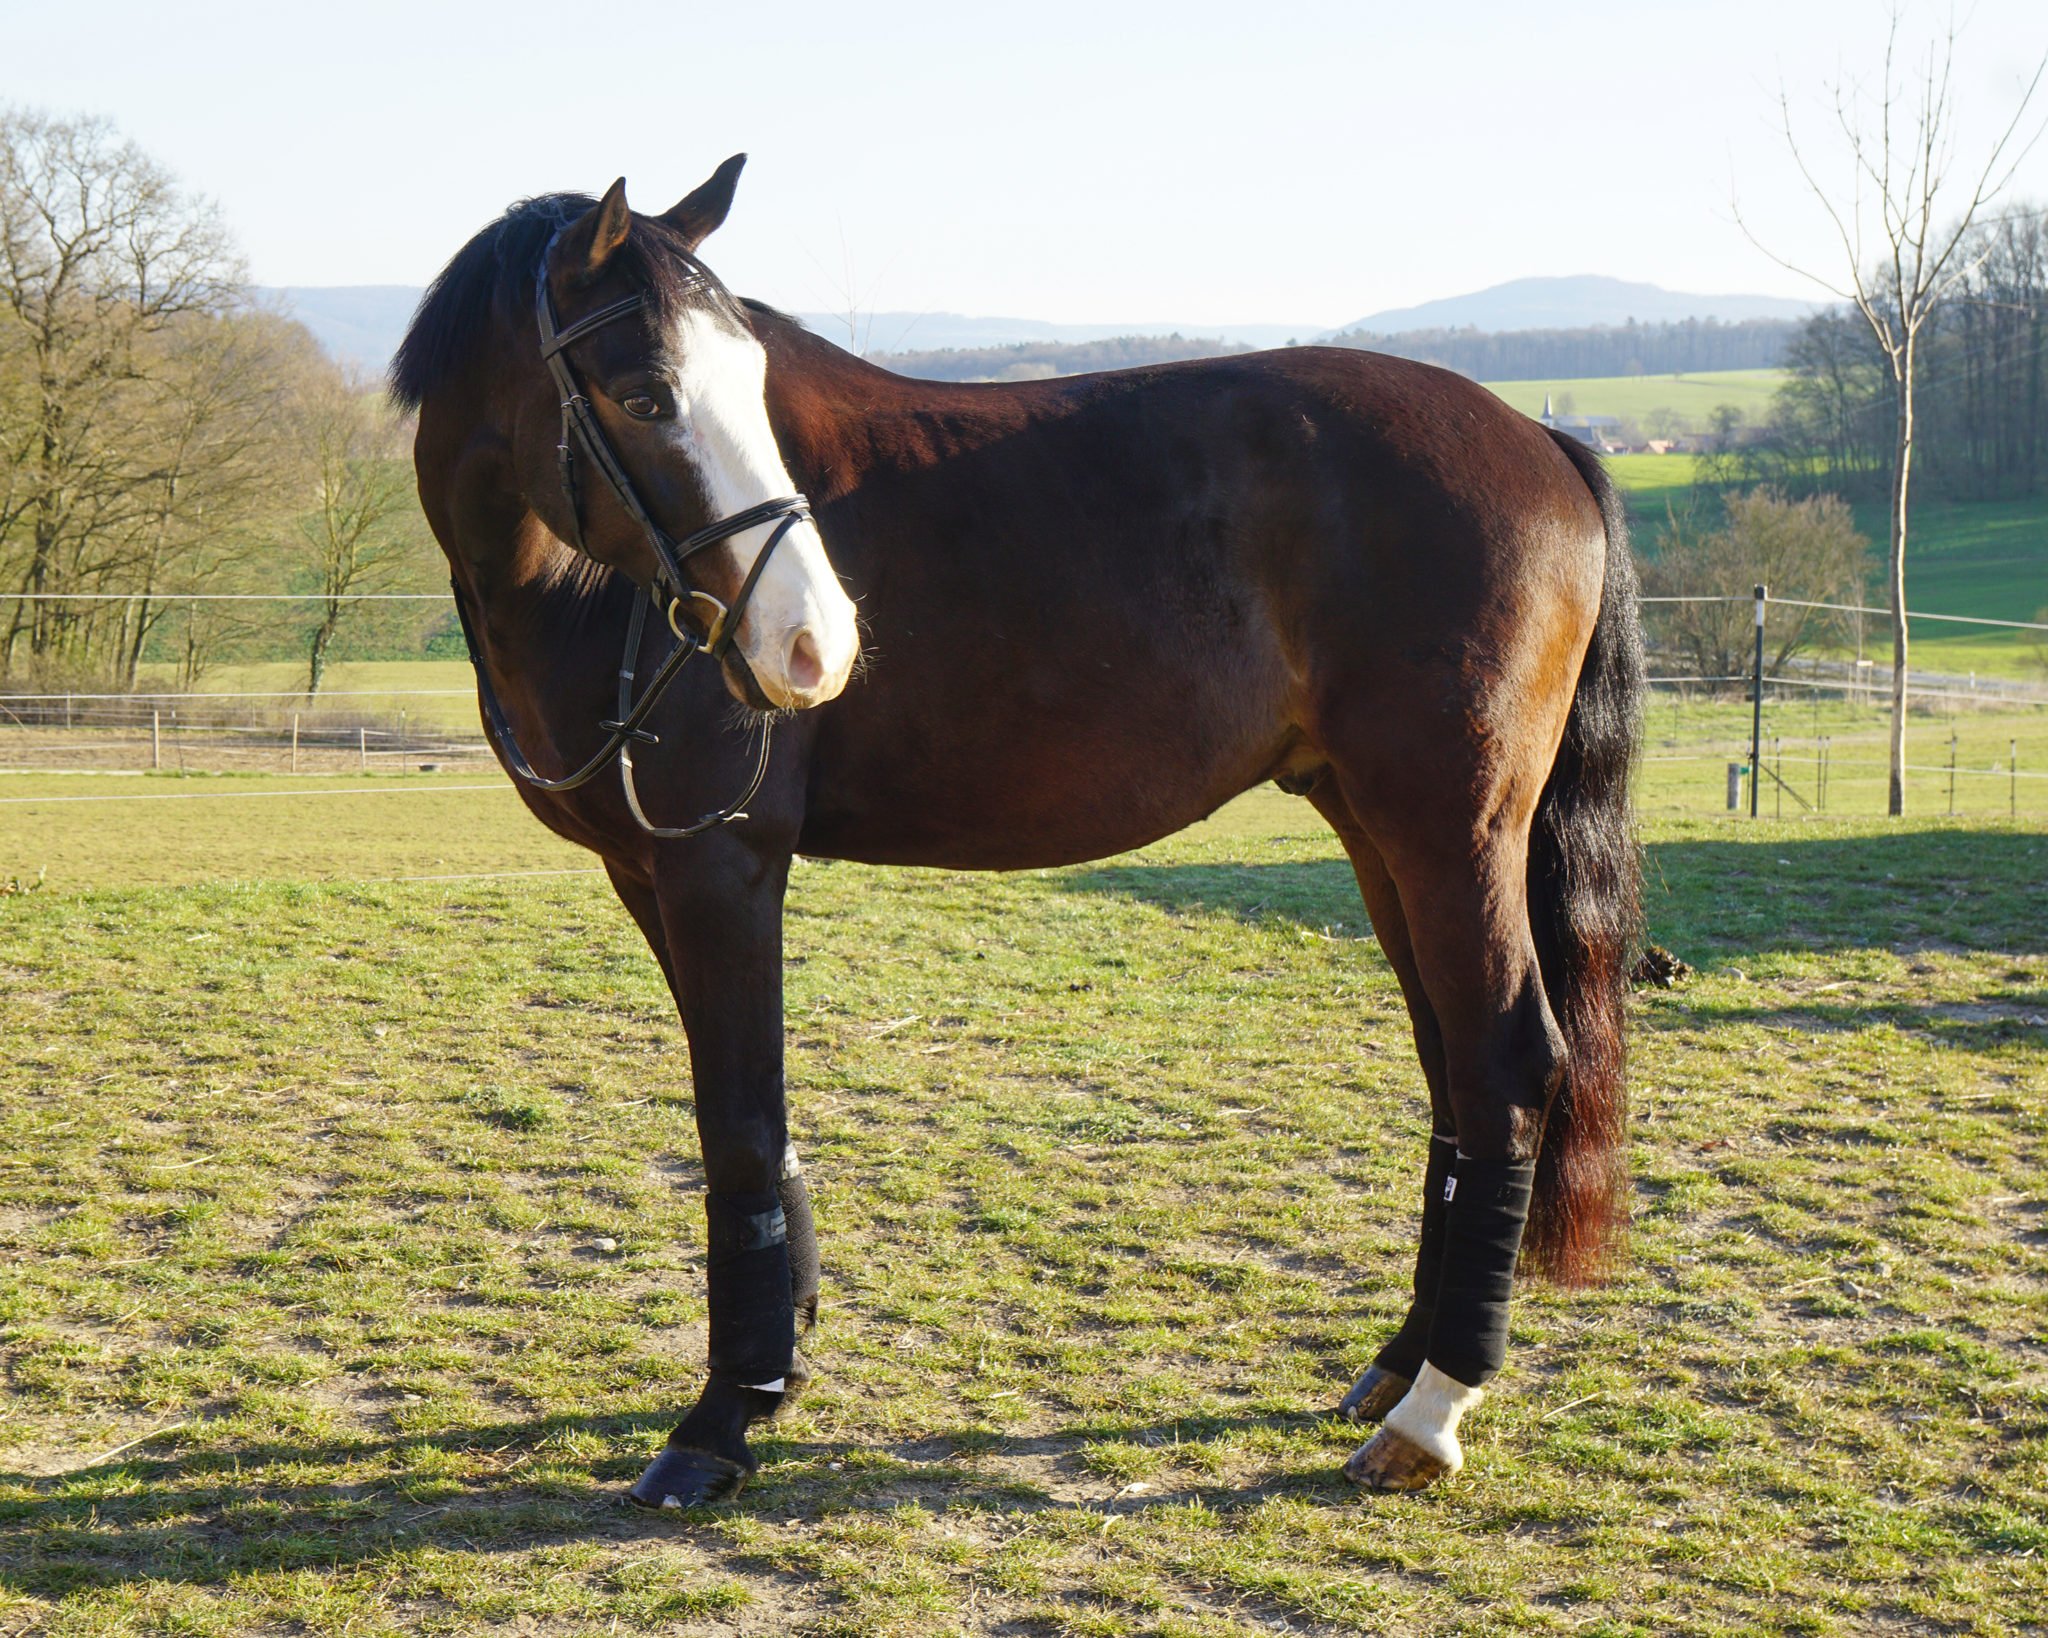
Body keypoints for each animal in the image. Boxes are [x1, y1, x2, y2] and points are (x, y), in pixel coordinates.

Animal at [393, 156, 1642, 1508]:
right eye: (642, 393)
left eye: (747, 384)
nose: (816, 645)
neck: (582, 593)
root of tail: (1541, 439)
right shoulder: (648, 876)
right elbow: (757, 1130)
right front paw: (777, 1373)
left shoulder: (720, 870)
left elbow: (740, 1130)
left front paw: (721, 1417)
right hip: (1378, 834)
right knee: (1452, 1073)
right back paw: (1399, 1366)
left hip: (1449, 831)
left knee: (1507, 1065)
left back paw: (1431, 1410)